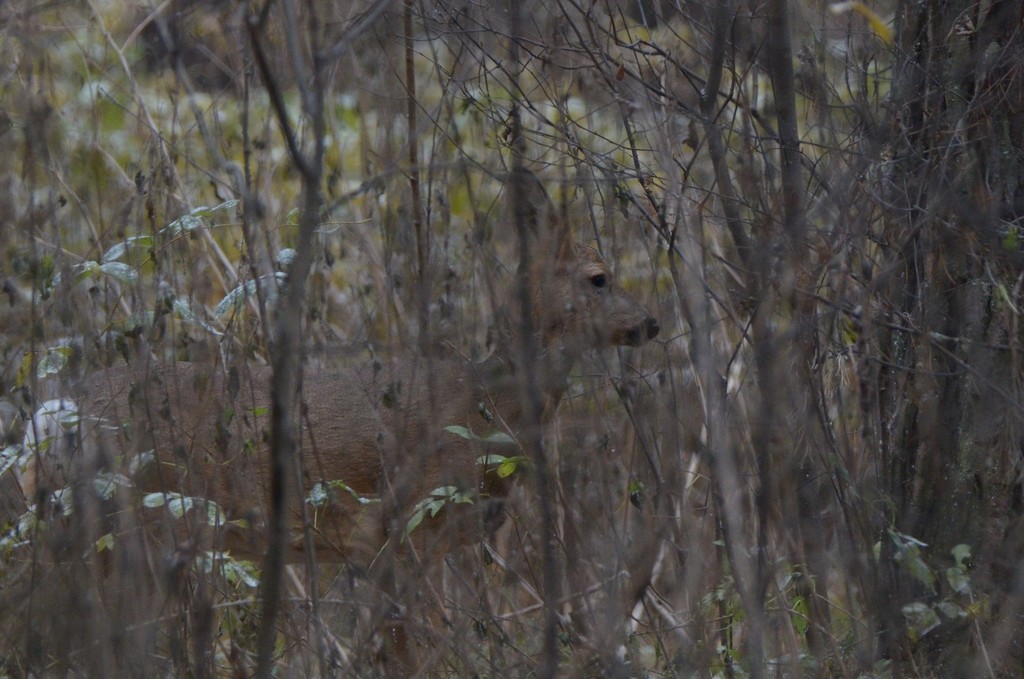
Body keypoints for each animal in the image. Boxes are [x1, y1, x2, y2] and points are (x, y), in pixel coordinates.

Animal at [13, 168, 660, 672]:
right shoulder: (400, 527)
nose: (651, 323)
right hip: (125, 527)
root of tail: (43, 422)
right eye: (599, 277)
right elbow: (408, 649)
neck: (487, 406)